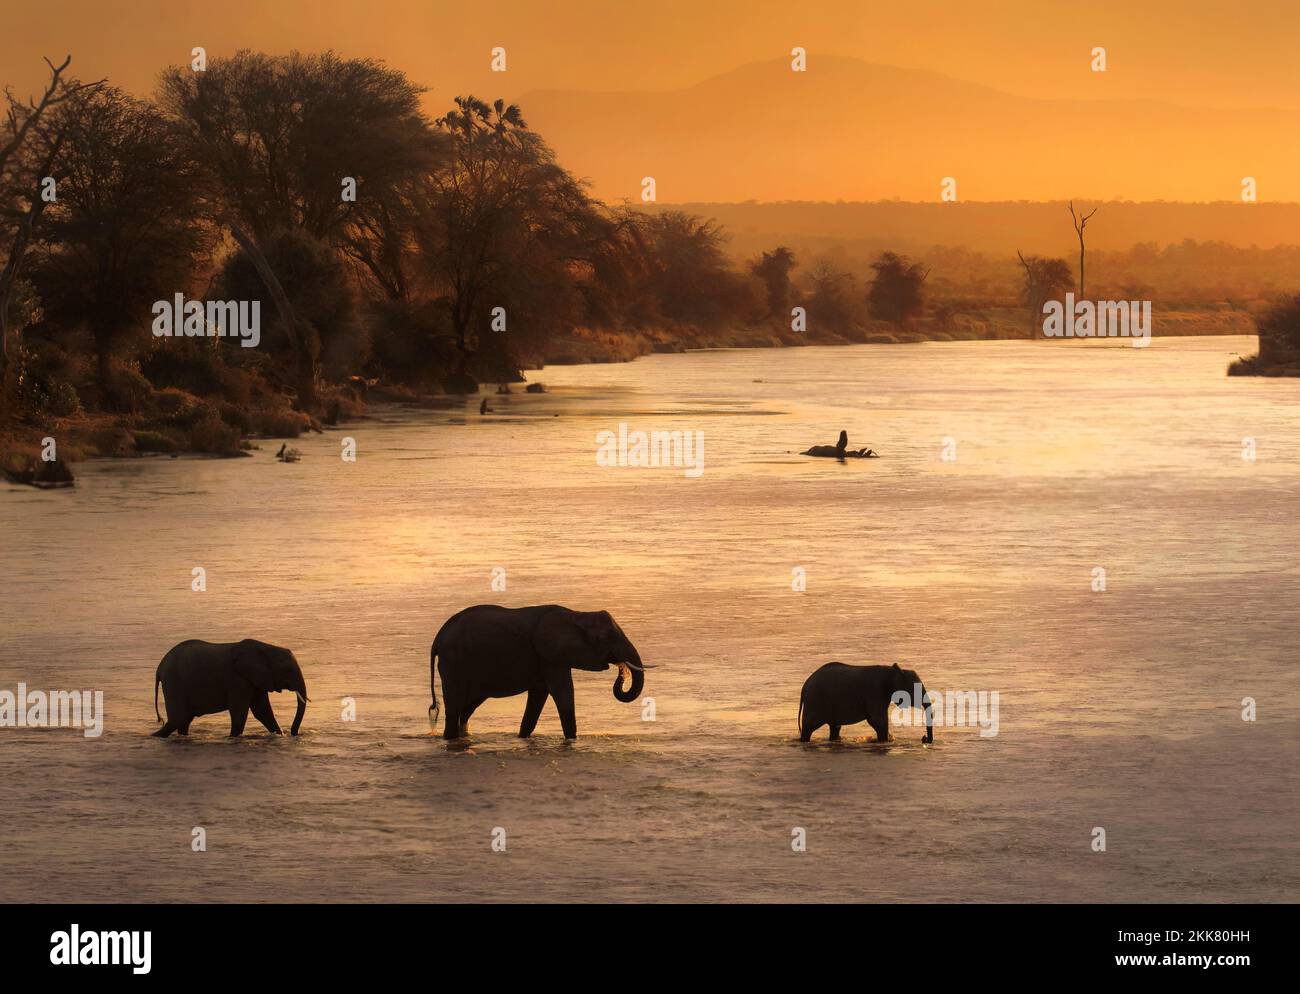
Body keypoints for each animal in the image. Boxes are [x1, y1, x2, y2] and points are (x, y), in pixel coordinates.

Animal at [153, 639, 309, 737]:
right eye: (287, 670)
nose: (294, 734)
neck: (266, 647)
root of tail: (160, 668)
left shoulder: (256, 679)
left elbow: (263, 712)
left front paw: (279, 736)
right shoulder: (237, 679)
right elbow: (240, 713)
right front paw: (232, 738)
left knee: (184, 721)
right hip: (174, 683)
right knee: (178, 719)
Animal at [429, 604, 648, 740]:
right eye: (609, 636)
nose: (621, 670)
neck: (577, 614)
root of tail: (437, 639)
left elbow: (538, 697)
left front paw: (522, 737)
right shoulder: (551, 655)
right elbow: (562, 692)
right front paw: (572, 739)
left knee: (468, 707)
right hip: (454, 662)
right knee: (455, 705)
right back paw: (450, 738)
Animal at [798, 662, 933, 743]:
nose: (924, 738)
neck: (892, 671)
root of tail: (804, 686)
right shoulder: (875, 693)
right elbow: (877, 721)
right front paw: (885, 741)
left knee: (835, 727)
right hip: (815, 702)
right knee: (809, 727)